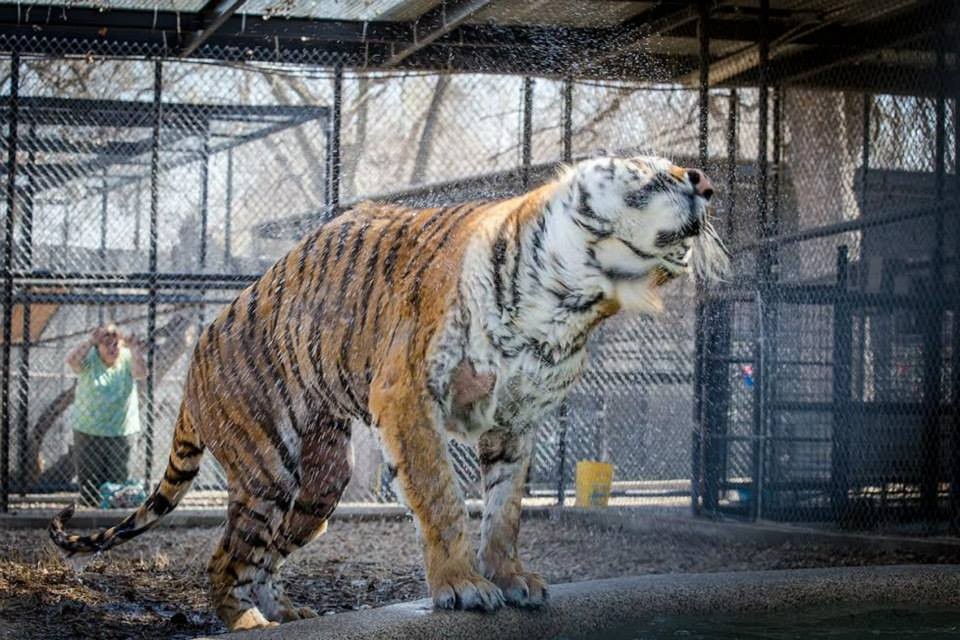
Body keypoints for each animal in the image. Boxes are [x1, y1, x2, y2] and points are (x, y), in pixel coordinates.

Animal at [49, 154, 728, 631]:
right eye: (653, 167)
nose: (704, 180)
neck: (570, 298)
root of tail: (195, 358)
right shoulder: (410, 396)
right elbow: (443, 497)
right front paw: (462, 585)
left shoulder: (516, 421)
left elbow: (505, 512)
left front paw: (511, 578)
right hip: (266, 467)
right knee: (224, 560)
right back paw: (247, 623)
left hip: (319, 485)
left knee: (264, 555)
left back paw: (284, 613)